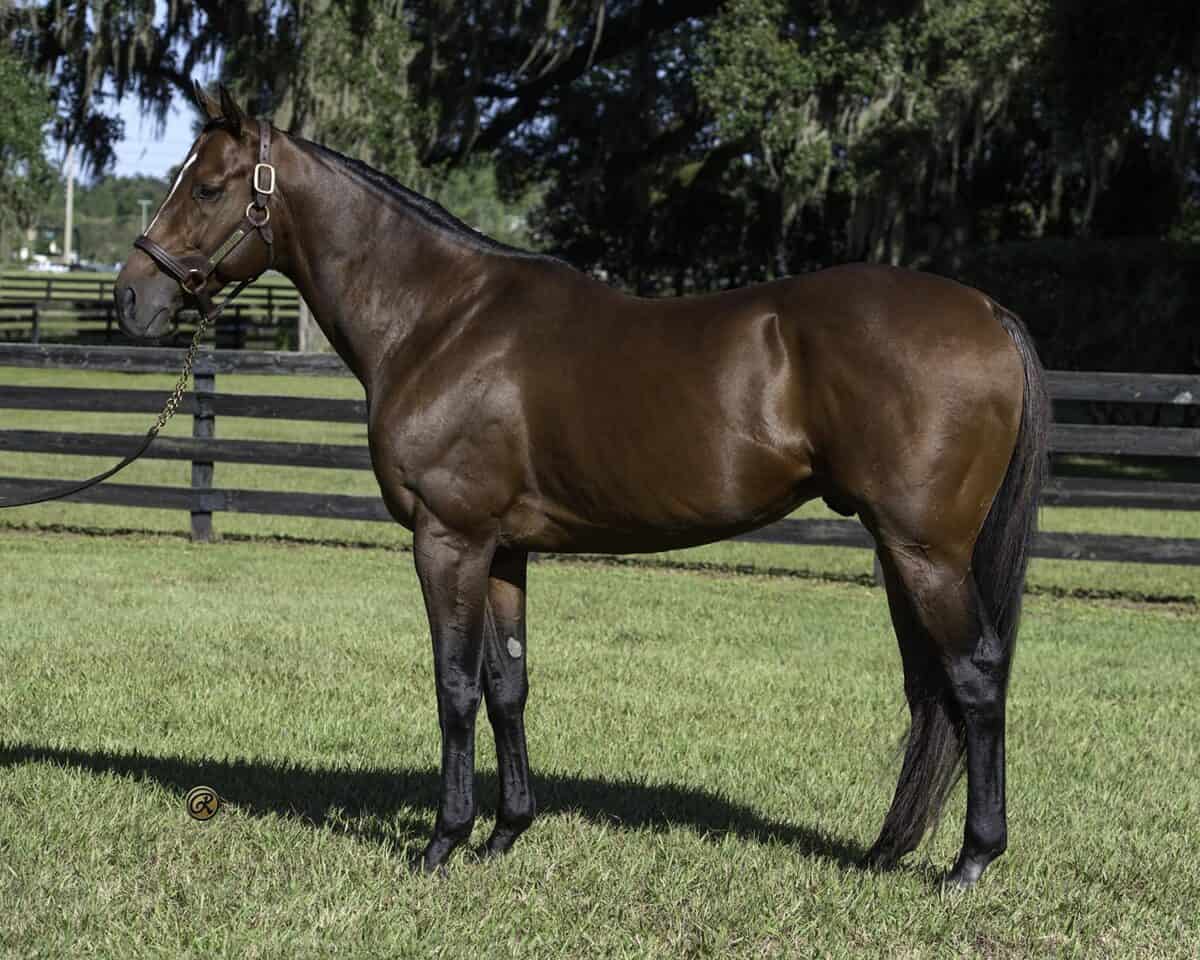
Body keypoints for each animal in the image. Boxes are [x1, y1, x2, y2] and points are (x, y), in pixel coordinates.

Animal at [114, 84, 1048, 889]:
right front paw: (505, 833)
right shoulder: (501, 549)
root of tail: (987, 312)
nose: (131, 299)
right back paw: (887, 851)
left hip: (924, 551)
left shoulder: (447, 538)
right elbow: (507, 686)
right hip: (899, 551)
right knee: (930, 690)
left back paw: (970, 861)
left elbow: (454, 687)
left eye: (208, 186)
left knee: (974, 677)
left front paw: (442, 842)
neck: (440, 318)